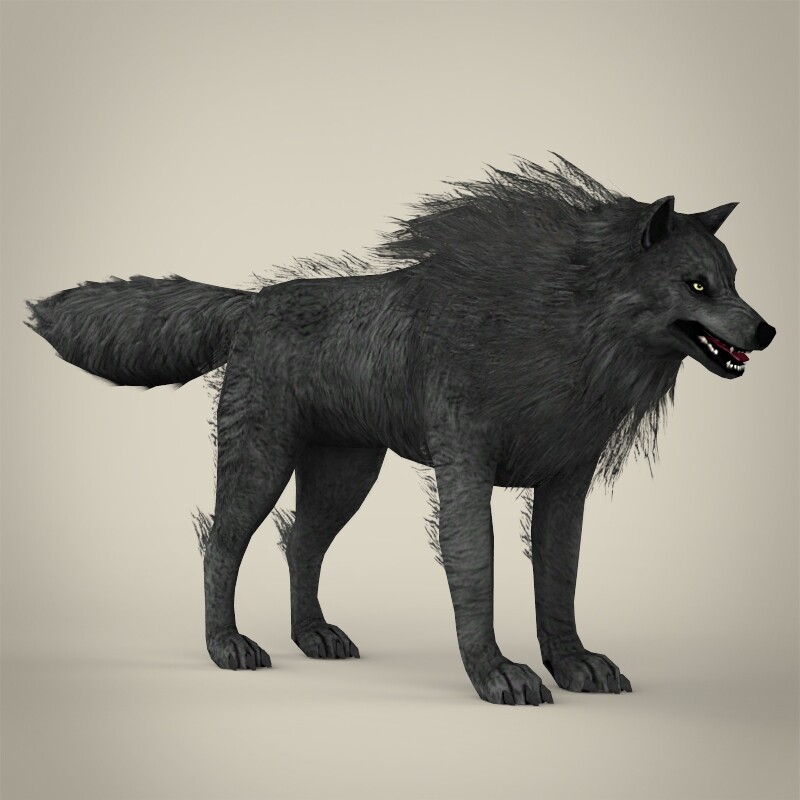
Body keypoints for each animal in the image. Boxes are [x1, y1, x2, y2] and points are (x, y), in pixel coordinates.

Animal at [26, 155, 776, 705]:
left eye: (735, 279)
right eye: (698, 285)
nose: (767, 331)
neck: (568, 329)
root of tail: (254, 300)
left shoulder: (567, 482)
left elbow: (558, 579)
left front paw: (573, 665)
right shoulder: (466, 468)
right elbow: (478, 571)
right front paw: (497, 674)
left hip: (346, 473)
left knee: (299, 542)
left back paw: (313, 637)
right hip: (263, 461)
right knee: (222, 544)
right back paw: (227, 648)